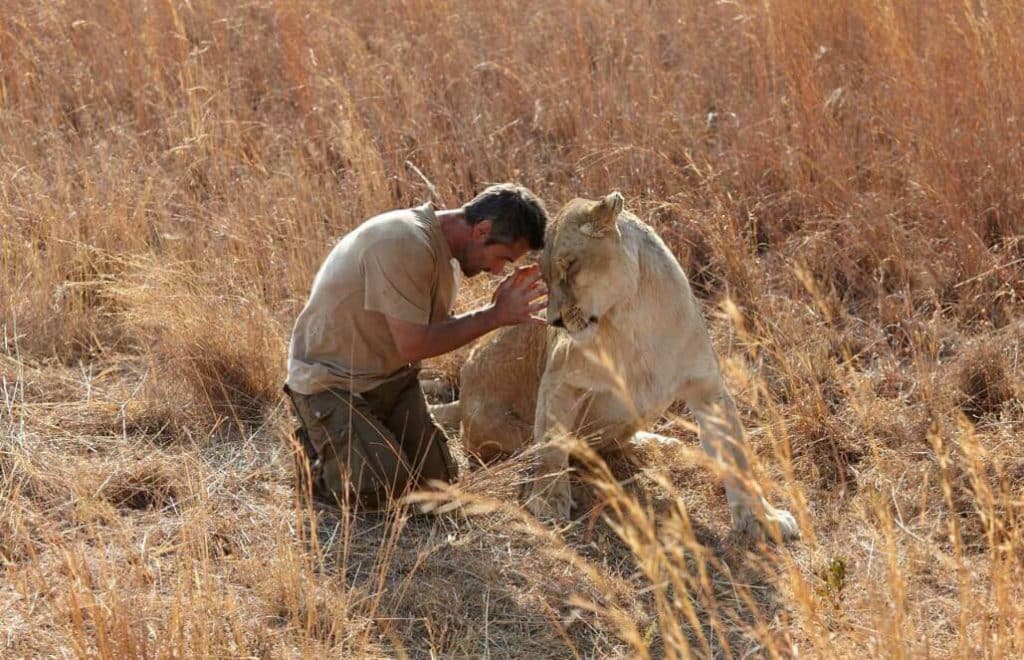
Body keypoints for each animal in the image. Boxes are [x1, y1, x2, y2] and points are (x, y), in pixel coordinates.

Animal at [434, 192, 800, 540]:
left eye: (569, 267)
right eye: (545, 278)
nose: (554, 321)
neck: (634, 317)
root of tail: (463, 393)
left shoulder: (708, 389)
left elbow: (738, 459)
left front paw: (762, 517)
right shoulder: (559, 377)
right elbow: (552, 443)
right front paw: (548, 499)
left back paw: (660, 443)